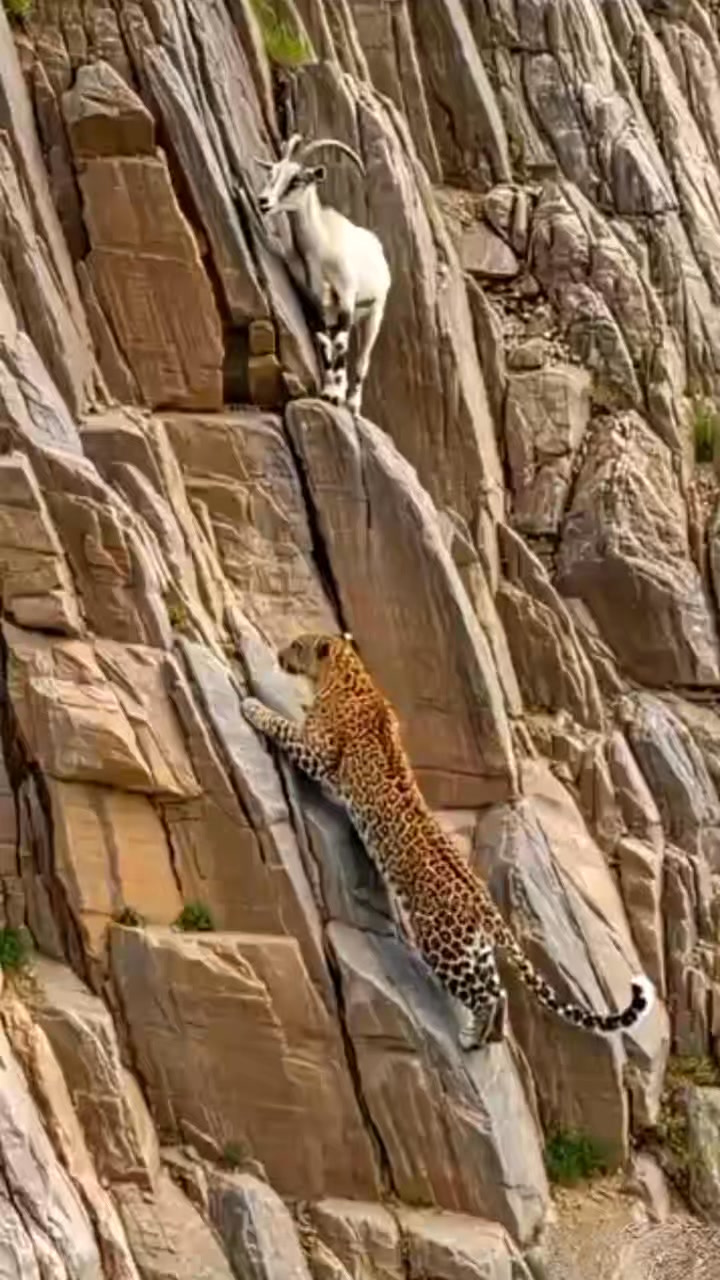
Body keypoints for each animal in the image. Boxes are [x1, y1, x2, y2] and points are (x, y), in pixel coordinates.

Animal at [254, 133, 391, 415]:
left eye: (296, 179)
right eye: (271, 173)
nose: (263, 202)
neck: (322, 248)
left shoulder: (347, 295)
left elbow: (339, 344)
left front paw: (337, 396)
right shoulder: (319, 301)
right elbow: (325, 342)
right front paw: (328, 391)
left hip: (375, 310)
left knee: (362, 358)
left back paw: (353, 404)